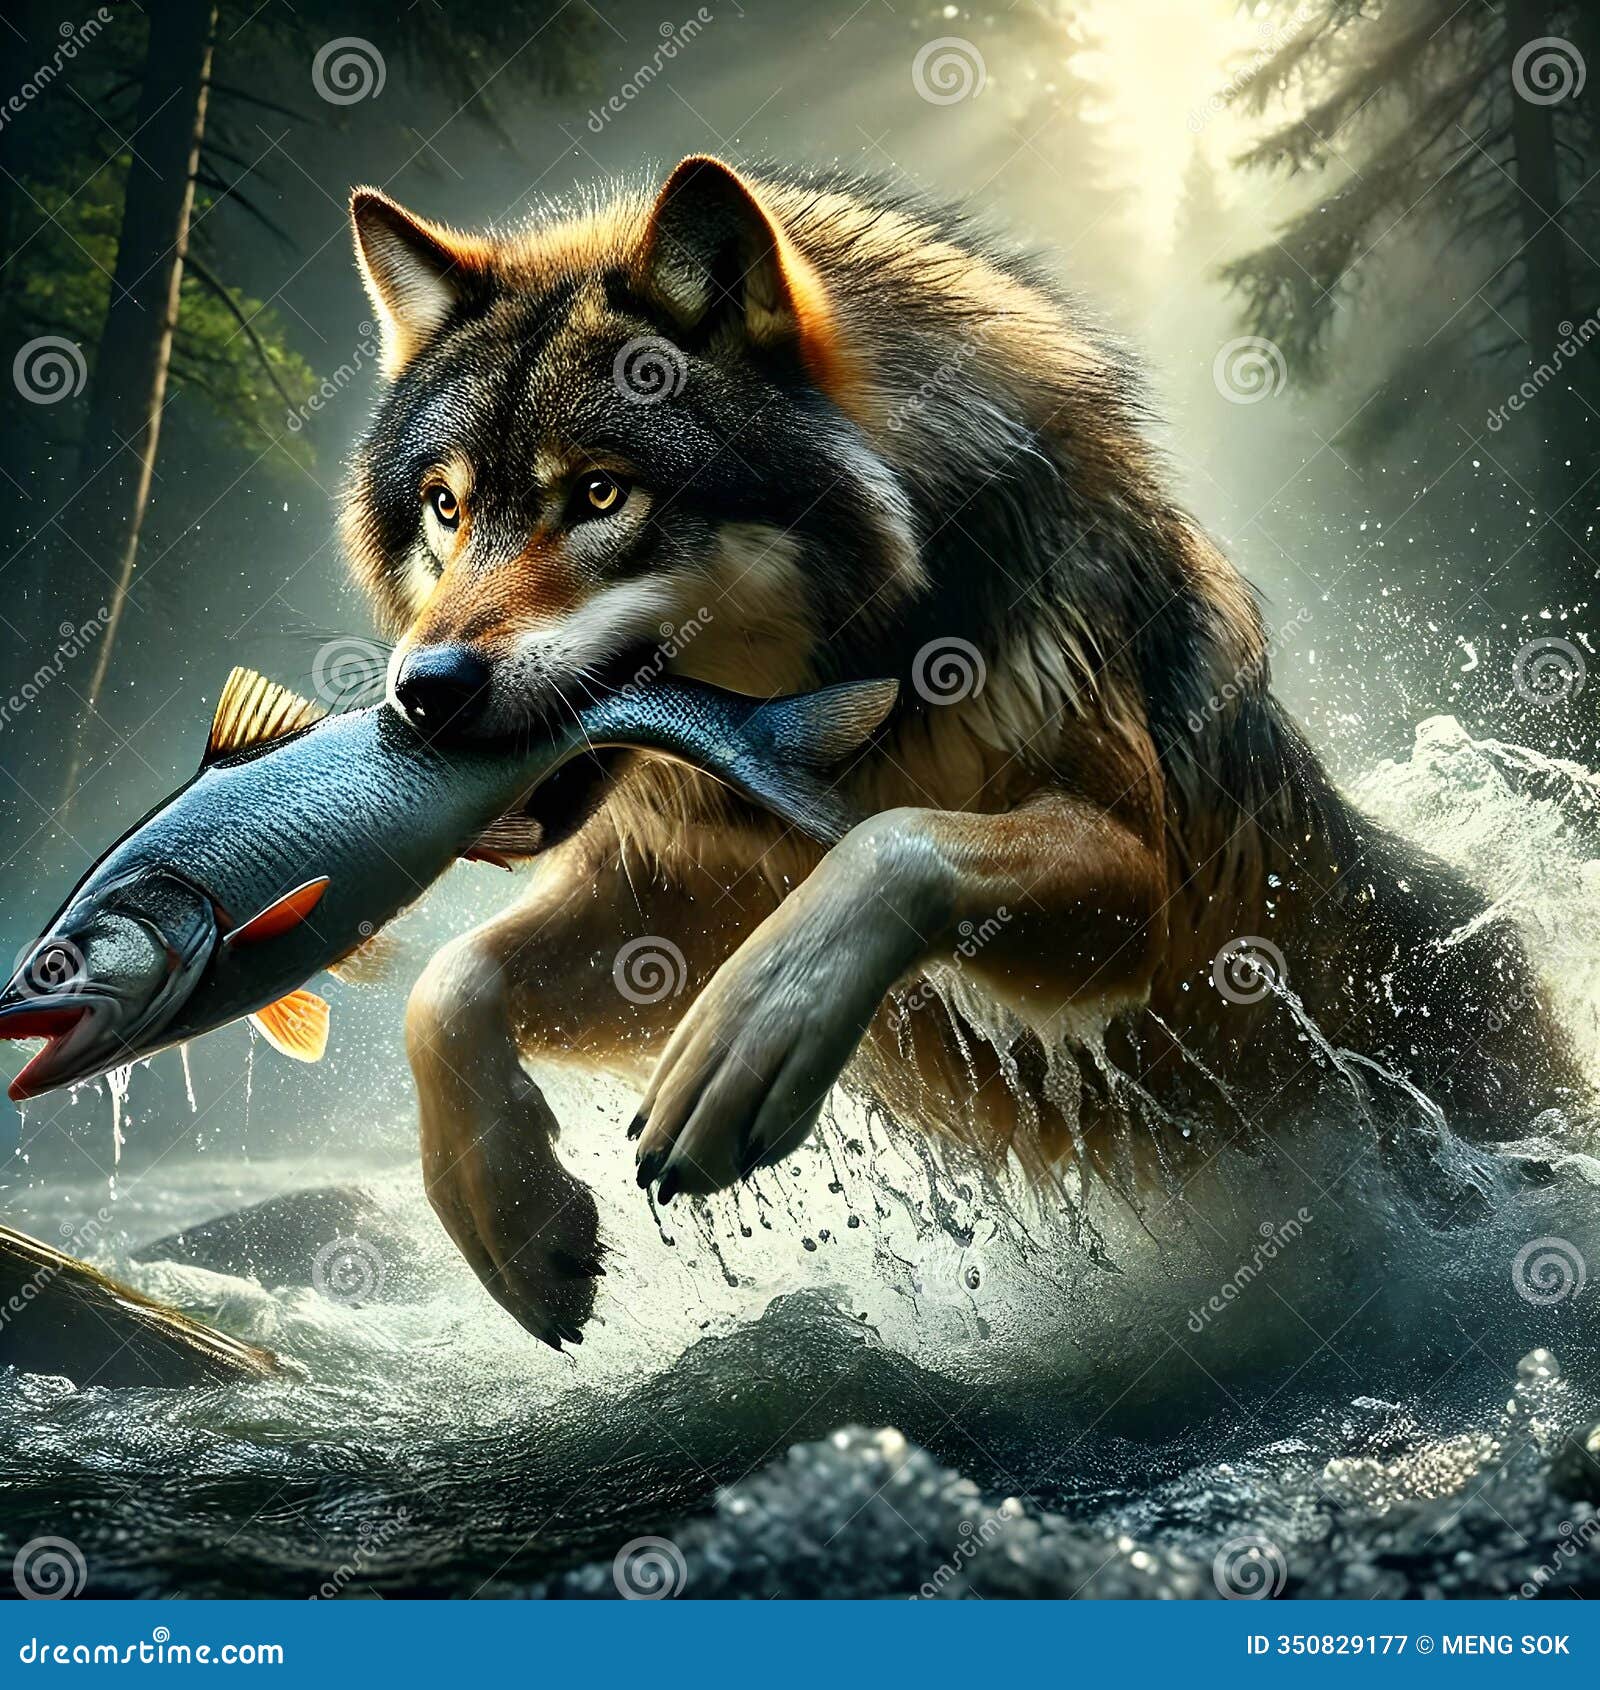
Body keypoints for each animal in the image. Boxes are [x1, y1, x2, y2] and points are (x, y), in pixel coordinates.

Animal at [342, 156, 1581, 1348]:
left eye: (600, 492)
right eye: (446, 507)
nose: (425, 692)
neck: (871, 689)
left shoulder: (1137, 884)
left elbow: (898, 842)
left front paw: (749, 1041)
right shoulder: (683, 908)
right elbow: (442, 988)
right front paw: (516, 1222)